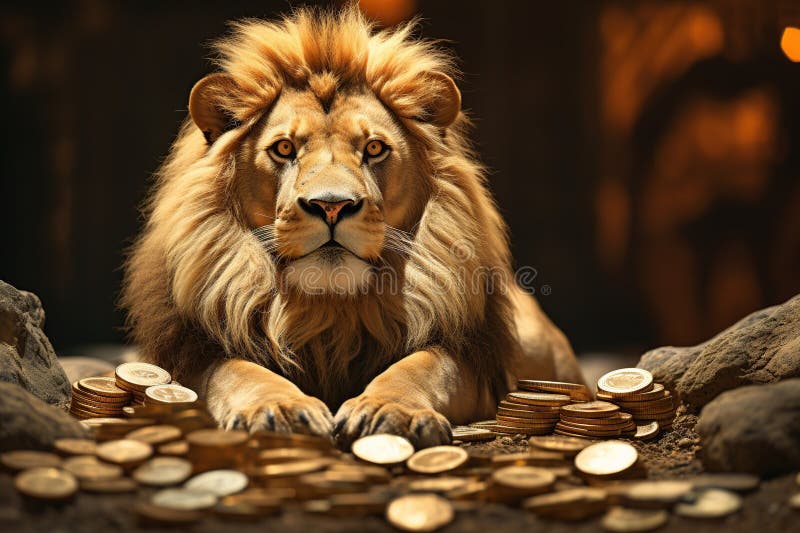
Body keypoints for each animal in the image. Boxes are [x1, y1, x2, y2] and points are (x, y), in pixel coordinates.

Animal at [122, 6, 584, 448]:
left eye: (374, 148)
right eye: (284, 148)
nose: (331, 205)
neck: (328, 308)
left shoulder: (472, 357)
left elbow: (424, 367)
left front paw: (390, 409)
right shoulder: (189, 353)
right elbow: (236, 371)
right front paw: (280, 409)